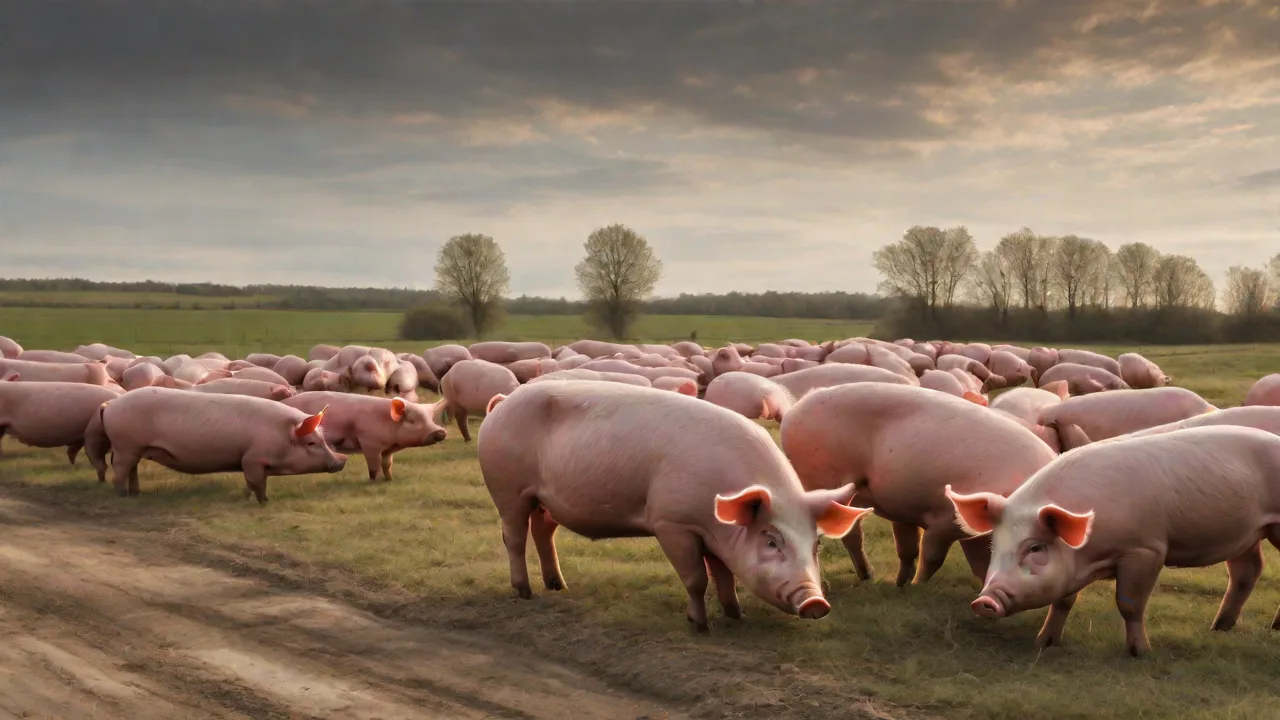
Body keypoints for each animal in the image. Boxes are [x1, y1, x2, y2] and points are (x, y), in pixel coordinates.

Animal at [84, 387, 345, 503]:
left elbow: (251, 483)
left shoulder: (249, 462)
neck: (280, 435)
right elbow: (258, 483)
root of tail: (110, 405)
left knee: (131, 469)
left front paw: (246, 497)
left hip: (134, 447)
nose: (340, 461)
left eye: (323, 439)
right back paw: (123, 496)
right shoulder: (252, 459)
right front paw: (264, 502)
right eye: (311, 442)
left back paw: (136, 493)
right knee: (120, 469)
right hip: (126, 445)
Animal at [282, 392, 446, 482]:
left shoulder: (387, 450)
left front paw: (390, 479)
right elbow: (374, 465)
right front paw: (374, 481)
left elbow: (387, 465)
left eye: (430, 419)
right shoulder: (369, 443)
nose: (441, 431)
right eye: (412, 421)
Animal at [476, 380, 869, 630]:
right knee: (513, 536)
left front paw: (736, 615)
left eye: (815, 545)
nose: (816, 603)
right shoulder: (672, 523)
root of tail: (501, 403)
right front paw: (700, 625)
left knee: (543, 532)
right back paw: (524, 592)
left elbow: (723, 573)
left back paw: (558, 586)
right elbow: (696, 578)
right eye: (771, 541)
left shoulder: (713, 535)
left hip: (545, 501)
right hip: (507, 488)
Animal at [779, 383, 1057, 585]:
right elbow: (933, 554)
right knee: (848, 533)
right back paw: (867, 577)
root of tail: (792, 413)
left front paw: (903, 585)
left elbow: (977, 563)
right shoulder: (948, 518)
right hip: (823, 478)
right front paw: (916, 586)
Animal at [946, 426, 1280, 656]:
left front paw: (1139, 653)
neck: (1092, 556)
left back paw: (1271, 628)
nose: (984, 601)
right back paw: (1219, 628)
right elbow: (1063, 601)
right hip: (1248, 534)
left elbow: (1129, 604)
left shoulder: (1147, 549)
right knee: (1248, 571)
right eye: (995, 545)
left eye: (1035, 547)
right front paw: (1045, 642)